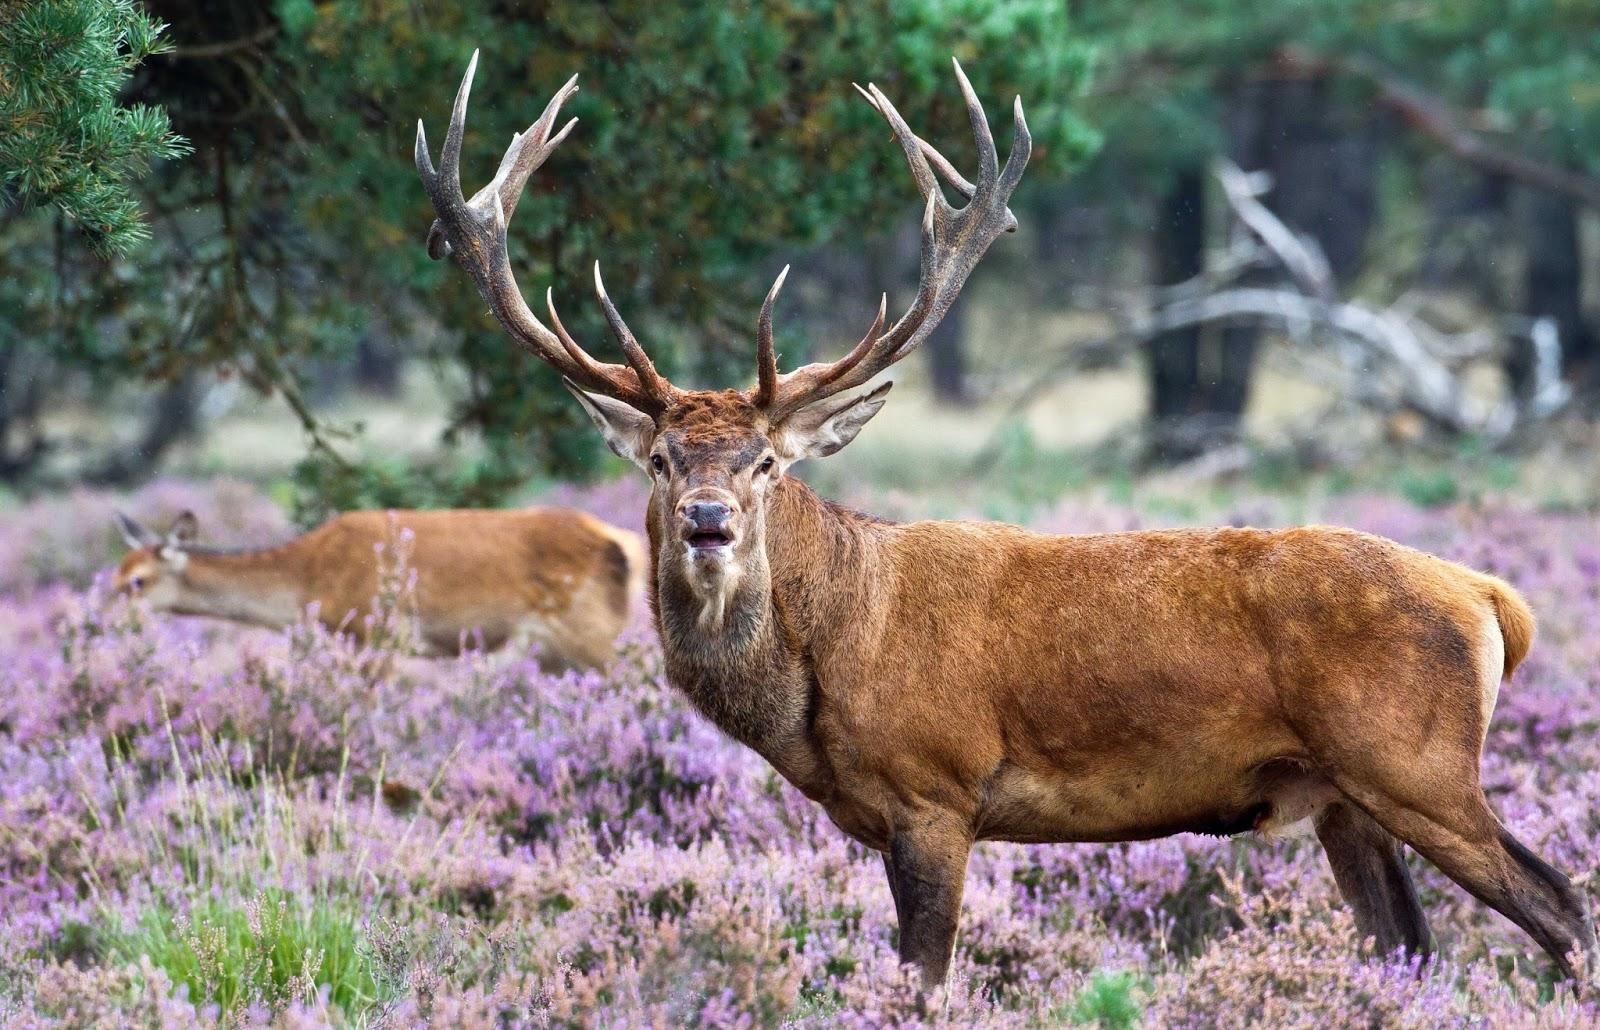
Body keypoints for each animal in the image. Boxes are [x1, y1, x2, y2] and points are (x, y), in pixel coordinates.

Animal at [112, 507, 644, 670]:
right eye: (116, 574)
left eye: (138, 582)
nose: (106, 623)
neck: (308, 582)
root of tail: (625, 544)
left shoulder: (380, 629)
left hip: (595, 634)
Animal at [414, 50, 1597, 990]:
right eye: (660, 460)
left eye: (764, 463)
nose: (707, 520)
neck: (820, 675)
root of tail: (1495, 599)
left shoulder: (934, 790)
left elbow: (924, 977)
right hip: (1347, 796)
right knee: (1408, 945)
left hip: (1416, 763)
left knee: (1563, 905)